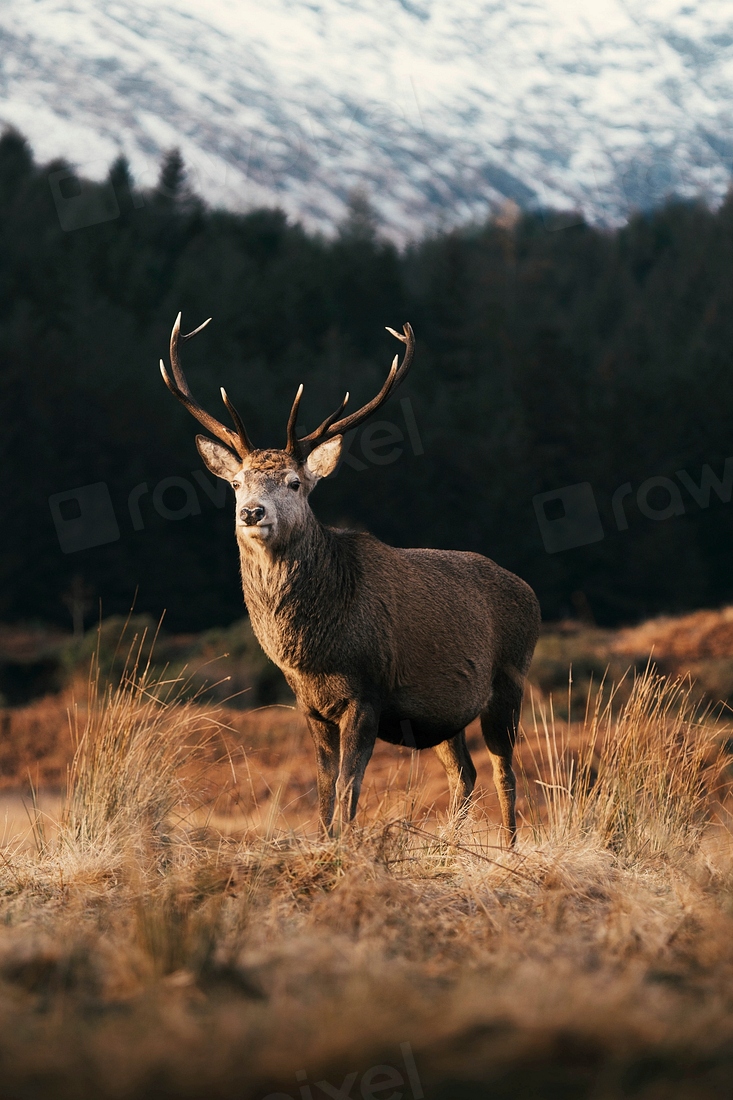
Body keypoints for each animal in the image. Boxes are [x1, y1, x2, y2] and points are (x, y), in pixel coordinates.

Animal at [160, 314, 541, 844]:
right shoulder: (310, 705)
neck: (313, 652)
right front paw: (323, 842)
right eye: (236, 482)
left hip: (509, 679)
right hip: (444, 713)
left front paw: (344, 845)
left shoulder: (368, 691)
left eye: (295, 483)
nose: (252, 512)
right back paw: (451, 846)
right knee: (464, 772)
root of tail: (531, 592)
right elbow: (322, 789)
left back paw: (507, 847)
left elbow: (347, 788)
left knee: (506, 769)